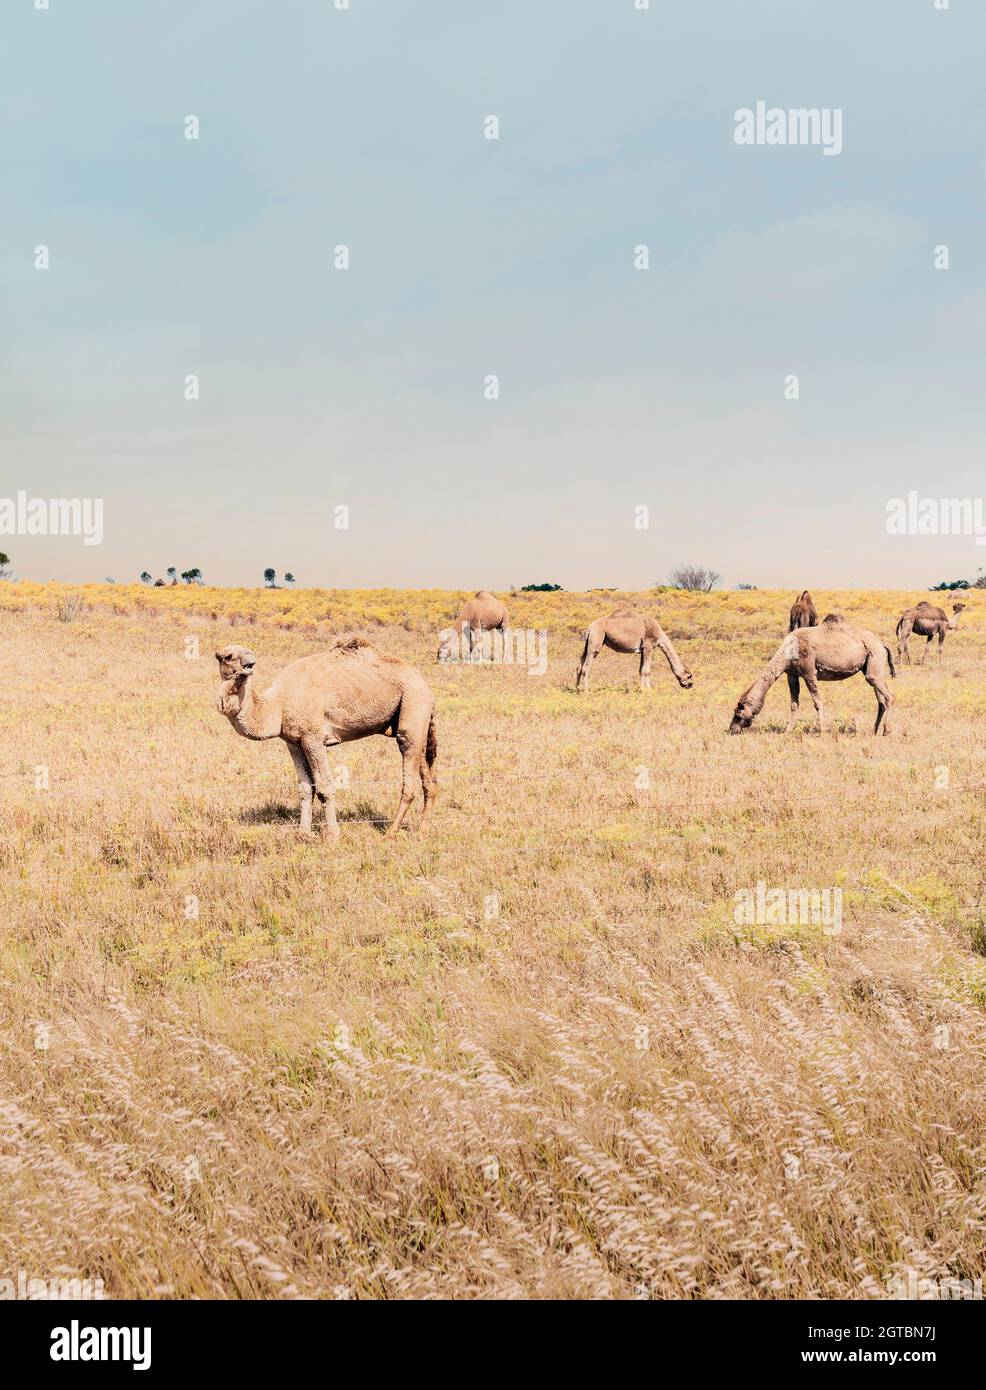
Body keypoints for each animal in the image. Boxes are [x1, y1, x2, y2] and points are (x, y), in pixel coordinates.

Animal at [216, 637, 437, 840]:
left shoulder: (313, 738)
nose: (250, 661)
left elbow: (324, 787)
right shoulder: (294, 743)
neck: (277, 705)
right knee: (427, 776)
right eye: (226, 656)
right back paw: (423, 831)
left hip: (413, 702)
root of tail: (424, 682)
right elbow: (305, 788)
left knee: (408, 774)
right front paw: (303, 834)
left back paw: (390, 832)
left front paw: (332, 835)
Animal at [729, 616, 895, 736]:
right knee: (880, 700)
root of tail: (882, 645)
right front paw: (787, 731)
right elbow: (794, 704)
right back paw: (874, 731)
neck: (788, 651)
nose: (731, 728)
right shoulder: (792, 675)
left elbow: (817, 703)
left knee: (889, 697)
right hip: (870, 669)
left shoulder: (809, 673)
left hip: (874, 661)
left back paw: (887, 731)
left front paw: (823, 731)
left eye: (738, 713)